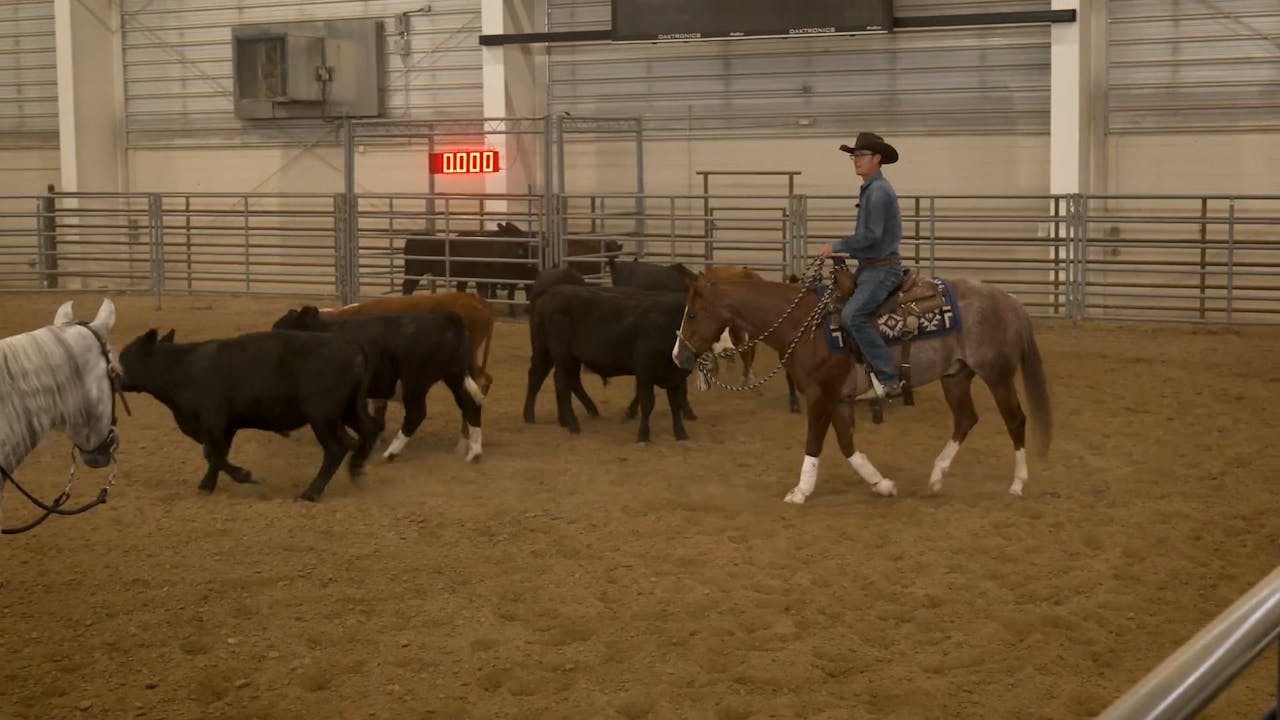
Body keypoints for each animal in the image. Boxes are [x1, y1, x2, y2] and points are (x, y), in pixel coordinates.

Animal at [117, 328, 379, 502]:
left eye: (124, 357)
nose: (113, 374)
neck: (181, 367)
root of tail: (352, 347)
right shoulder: (225, 427)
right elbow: (218, 454)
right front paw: (207, 484)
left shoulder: (214, 420)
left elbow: (213, 454)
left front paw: (245, 475)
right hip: (348, 410)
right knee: (369, 430)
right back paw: (356, 470)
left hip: (322, 416)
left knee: (337, 447)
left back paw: (311, 492)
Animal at [272, 307, 486, 463]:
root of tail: (448, 318)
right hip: (455, 378)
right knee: (470, 405)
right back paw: (474, 452)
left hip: (414, 383)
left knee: (416, 414)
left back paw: (391, 453)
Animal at [523, 284, 693, 444]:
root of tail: (550, 293)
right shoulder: (645, 368)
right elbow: (648, 401)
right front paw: (643, 434)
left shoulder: (676, 375)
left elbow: (676, 402)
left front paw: (681, 432)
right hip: (562, 355)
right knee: (561, 383)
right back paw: (572, 424)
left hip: (549, 352)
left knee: (540, 376)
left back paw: (534, 417)